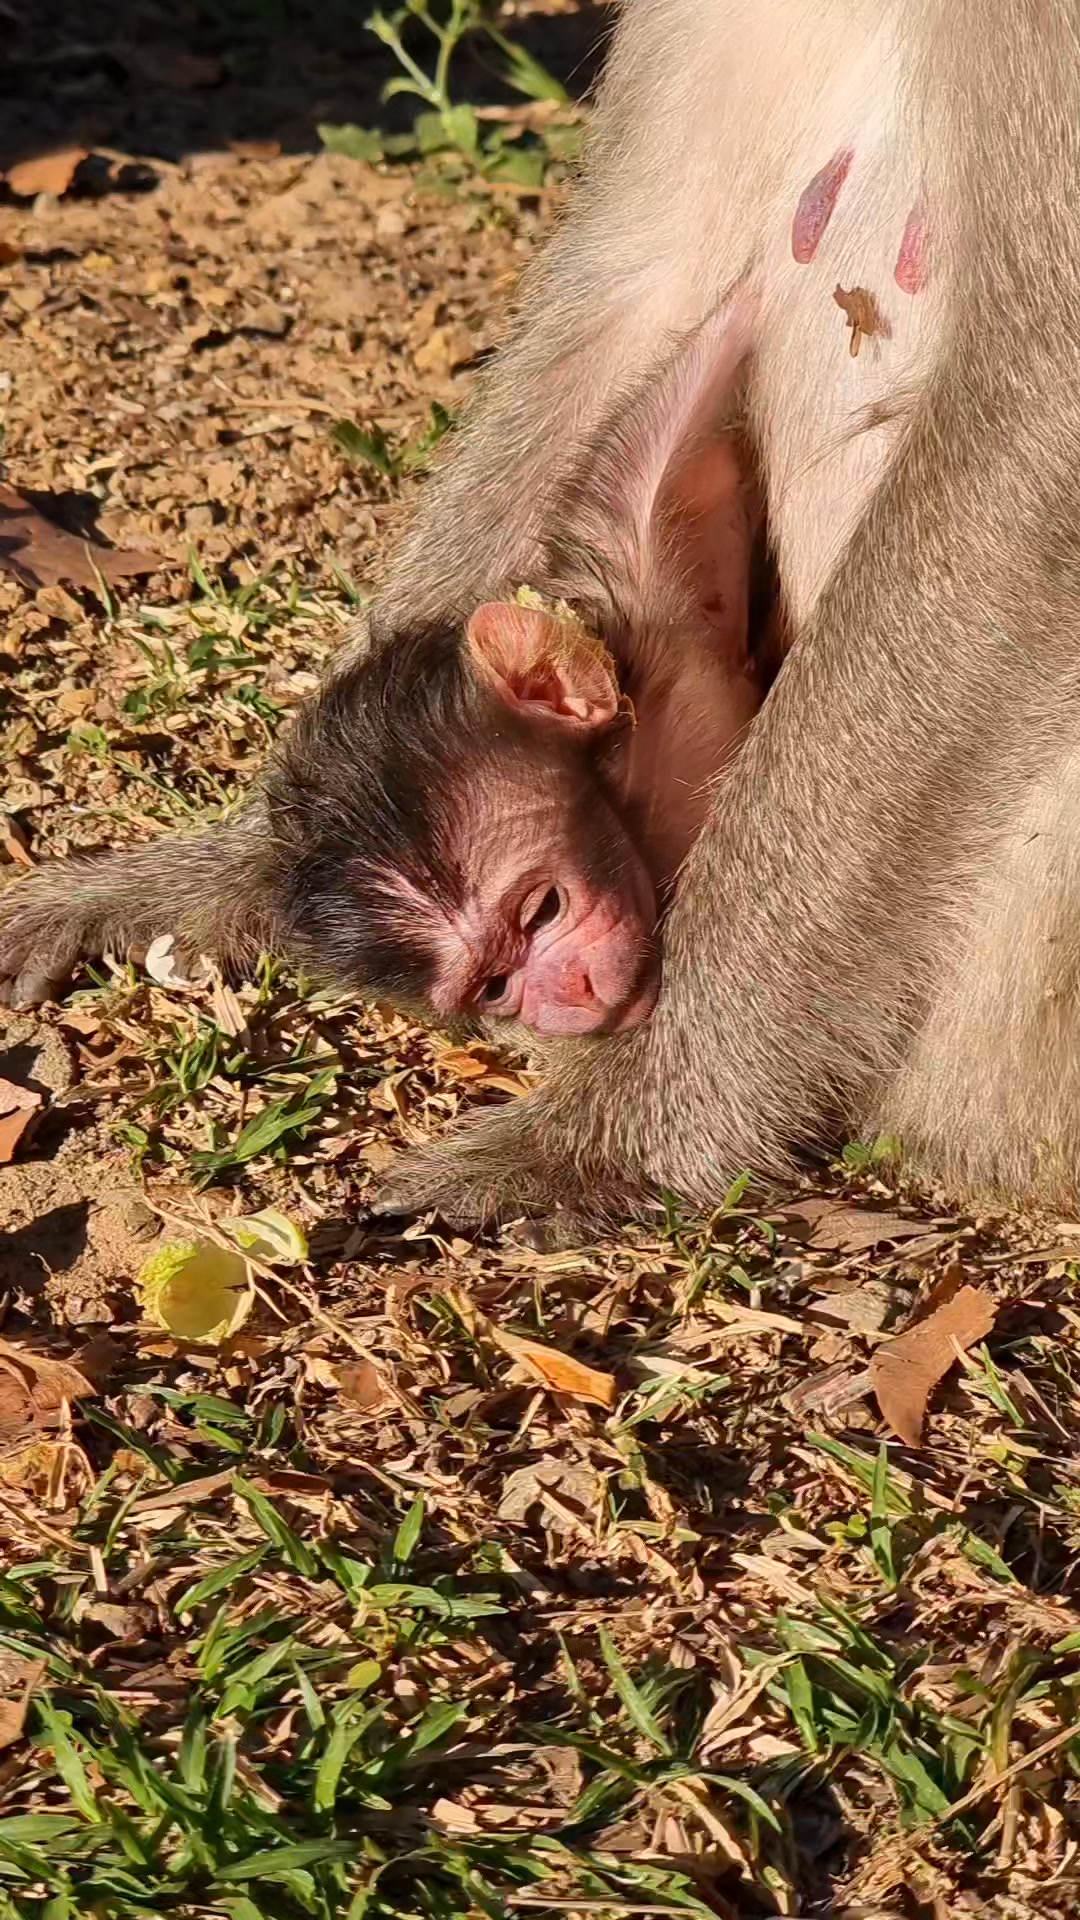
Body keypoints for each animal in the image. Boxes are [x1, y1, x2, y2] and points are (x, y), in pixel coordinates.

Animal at [6, 0, 1080, 1231]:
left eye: (542, 909)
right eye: (496, 973)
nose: (559, 994)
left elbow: (1035, 400)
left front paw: (629, 1116)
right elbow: (641, 287)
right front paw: (237, 873)